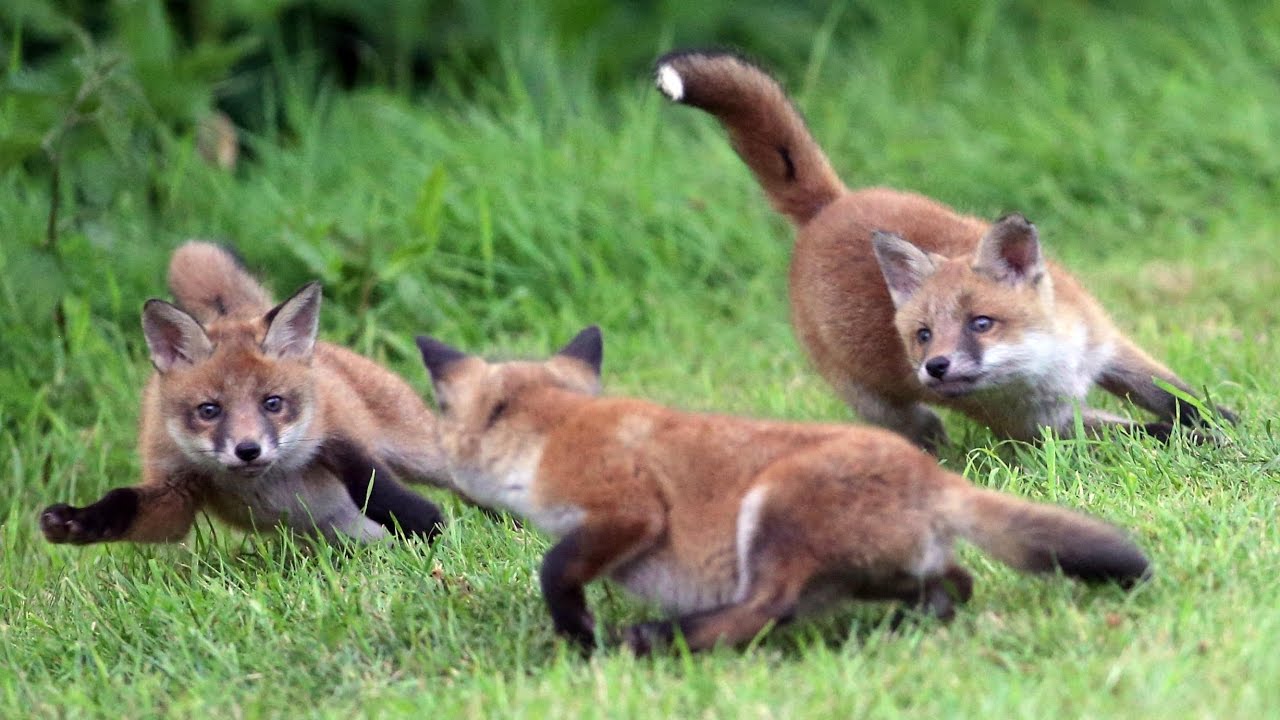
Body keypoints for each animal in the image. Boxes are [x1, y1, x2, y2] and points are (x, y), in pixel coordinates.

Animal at [40, 242, 448, 547]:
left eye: (273, 403)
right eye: (209, 410)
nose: (248, 450)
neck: (266, 477)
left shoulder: (334, 433)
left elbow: (370, 483)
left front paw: (426, 523)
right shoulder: (175, 487)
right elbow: (125, 501)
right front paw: (79, 521)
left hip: (424, 451)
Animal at [415, 325, 1150, 654]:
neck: (559, 429)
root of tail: (932, 476)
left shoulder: (627, 510)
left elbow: (555, 567)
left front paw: (579, 632)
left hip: (773, 515)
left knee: (766, 608)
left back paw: (663, 637)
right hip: (884, 568)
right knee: (956, 584)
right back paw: (907, 626)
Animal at [654, 50, 1235, 450]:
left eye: (982, 323)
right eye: (923, 335)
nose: (934, 368)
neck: (1050, 364)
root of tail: (828, 207)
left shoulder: (1109, 347)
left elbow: (1176, 396)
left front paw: (1227, 420)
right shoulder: (1042, 428)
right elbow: (1147, 430)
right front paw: (1208, 442)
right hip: (875, 400)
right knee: (915, 428)